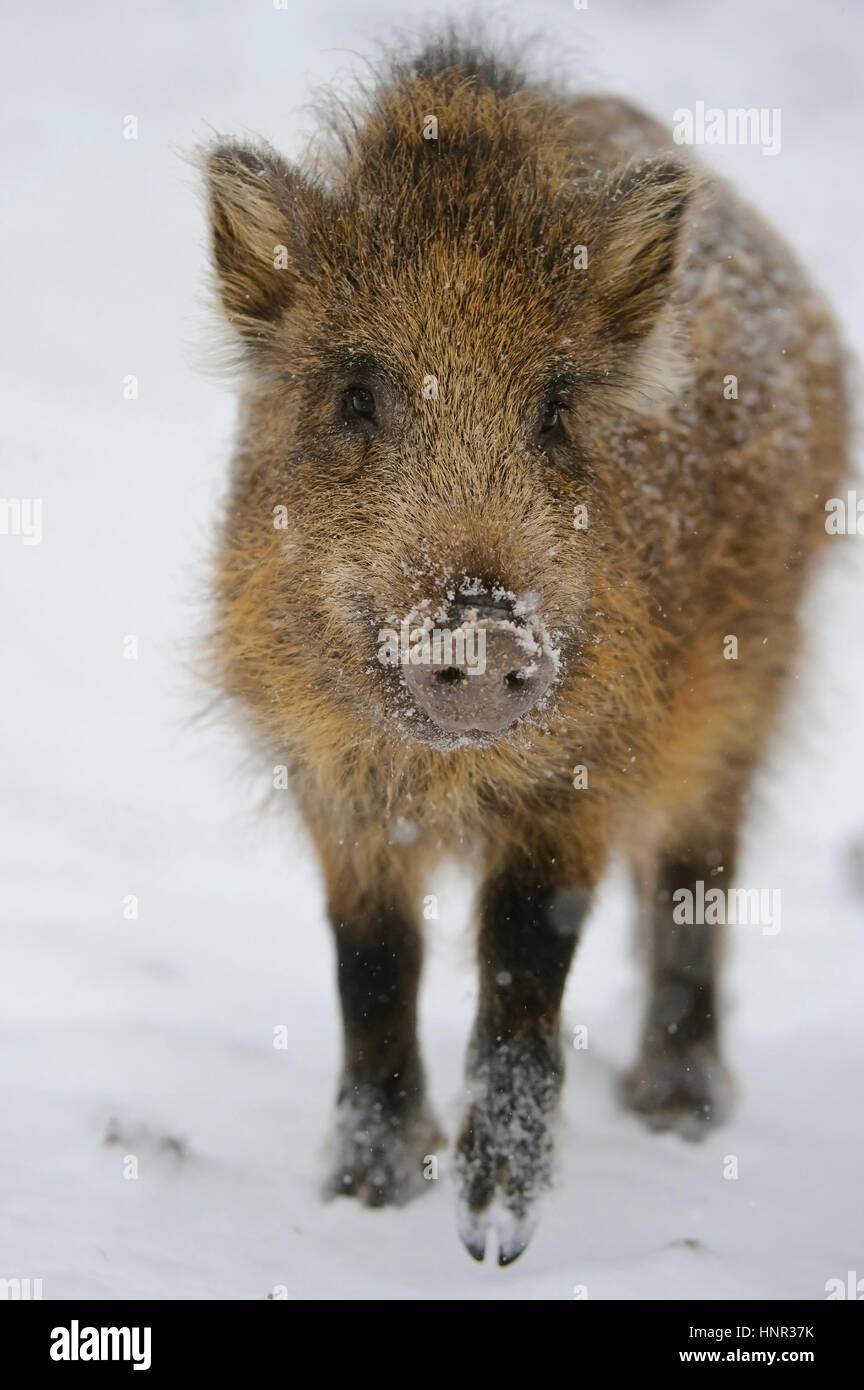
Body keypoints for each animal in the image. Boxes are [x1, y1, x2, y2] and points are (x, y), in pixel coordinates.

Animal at [201, 34, 848, 1264]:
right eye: (356, 397)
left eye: (554, 411)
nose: (486, 621)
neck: (446, 774)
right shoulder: (332, 777)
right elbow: (372, 962)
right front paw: (367, 1193)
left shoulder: (585, 767)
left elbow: (523, 966)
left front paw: (495, 1239)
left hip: (753, 683)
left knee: (699, 873)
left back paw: (679, 1109)